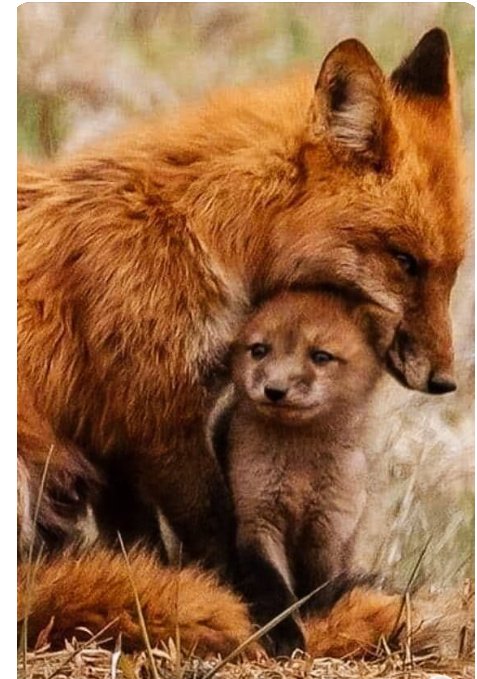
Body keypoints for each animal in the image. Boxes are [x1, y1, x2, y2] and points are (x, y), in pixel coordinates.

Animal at [18, 26, 466, 590]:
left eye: (453, 268)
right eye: (405, 261)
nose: (445, 381)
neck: (194, 232)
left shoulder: (114, 441)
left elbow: (140, 545)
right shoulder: (158, 421)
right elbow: (217, 531)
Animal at [209, 290, 387, 655]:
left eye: (321, 356)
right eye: (259, 350)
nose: (275, 391)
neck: (299, 474)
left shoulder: (328, 531)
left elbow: (319, 593)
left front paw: (319, 625)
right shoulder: (258, 521)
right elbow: (274, 588)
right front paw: (284, 634)